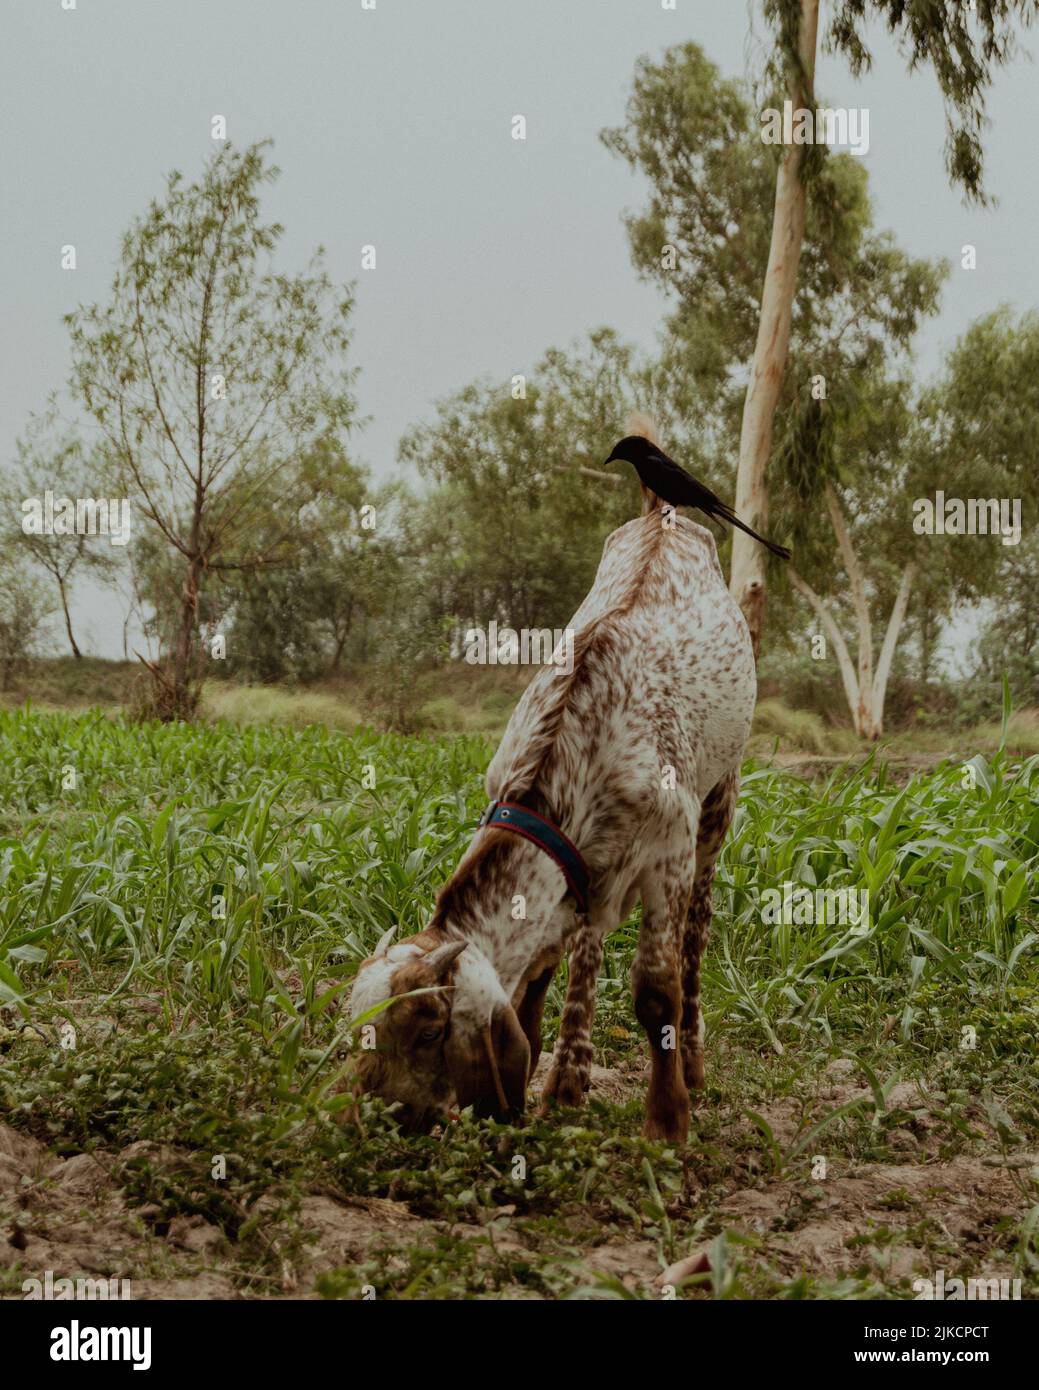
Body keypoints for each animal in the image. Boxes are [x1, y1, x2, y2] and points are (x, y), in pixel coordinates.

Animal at [346, 490, 755, 1143]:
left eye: (429, 1031)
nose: (370, 1120)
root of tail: (660, 512)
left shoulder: (669, 850)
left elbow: (655, 994)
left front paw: (667, 1122)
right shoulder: (570, 869)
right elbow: (542, 968)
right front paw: (547, 1073)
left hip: (721, 796)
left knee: (697, 929)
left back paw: (690, 1060)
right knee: (588, 945)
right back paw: (568, 1076)